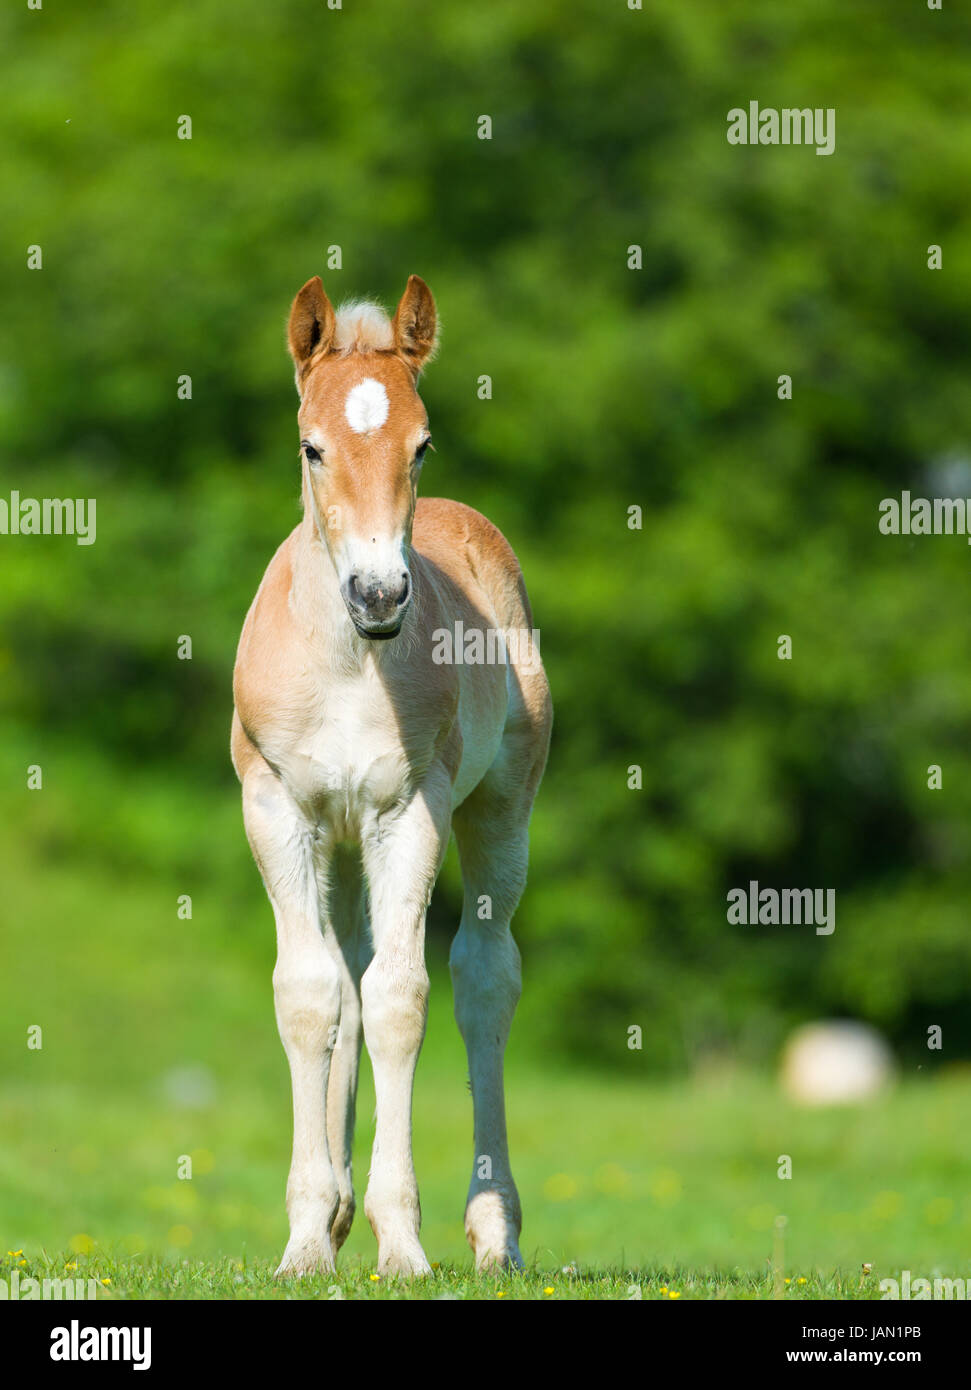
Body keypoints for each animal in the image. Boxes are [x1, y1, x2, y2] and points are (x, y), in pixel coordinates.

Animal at [231, 275, 552, 1277]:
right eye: (312, 446)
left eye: (422, 444)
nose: (378, 595)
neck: (348, 663)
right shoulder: (277, 810)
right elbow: (311, 997)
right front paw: (306, 1239)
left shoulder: (411, 812)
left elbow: (401, 1000)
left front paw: (401, 1240)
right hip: (338, 843)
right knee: (344, 970)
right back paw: (336, 1218)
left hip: (500, 814)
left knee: (482, 980)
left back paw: (493, 1235)